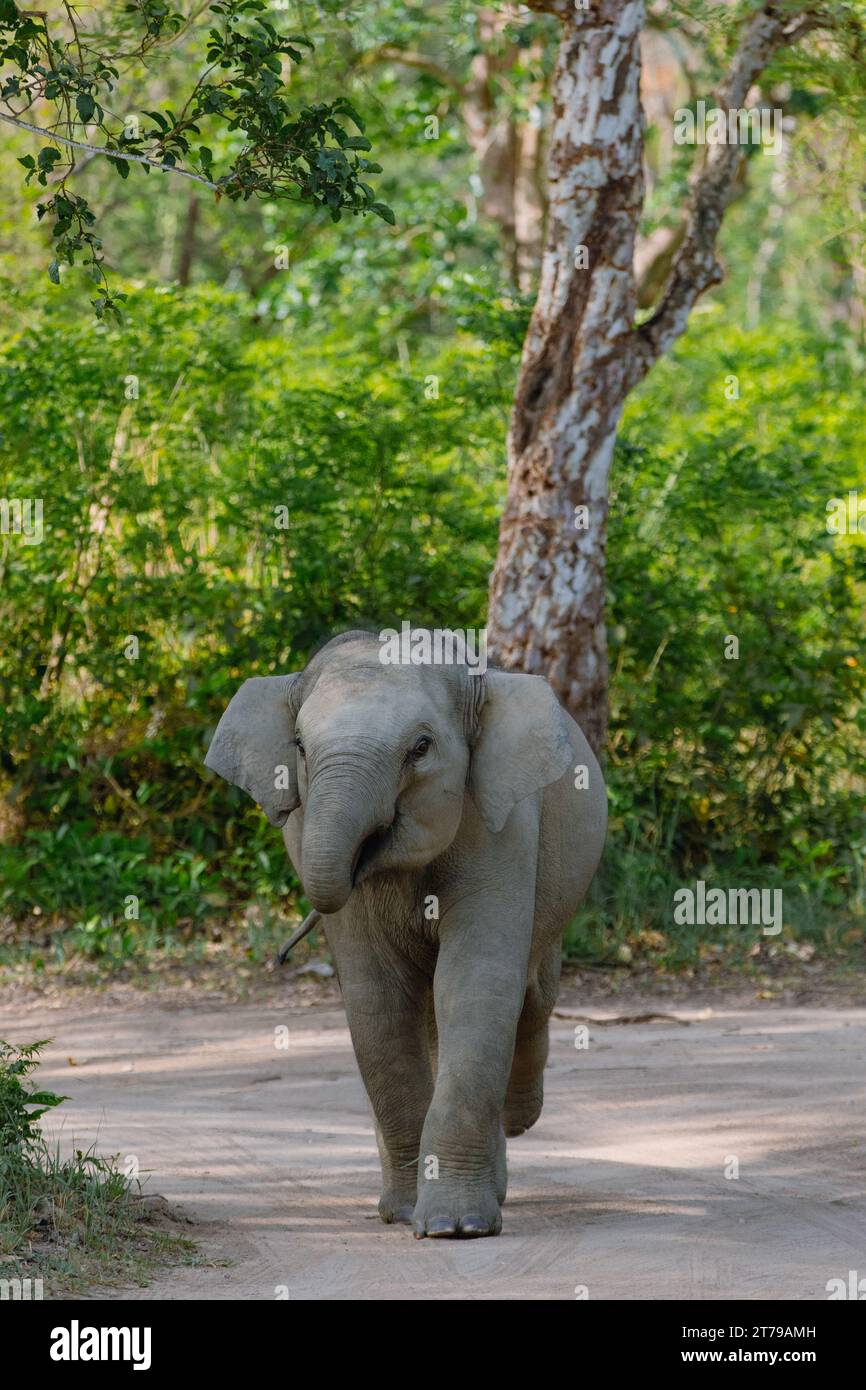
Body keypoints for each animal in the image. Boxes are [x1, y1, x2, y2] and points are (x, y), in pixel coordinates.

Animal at [204, 629, 606, 1238]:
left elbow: (474, 983)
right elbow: (377, 1001)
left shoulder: (502, 823)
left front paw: (456, 1227)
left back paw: (520, 1116)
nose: (279, 959)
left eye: (420, 748)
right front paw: (406, 1215)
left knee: (531, 993)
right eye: (299, 747)